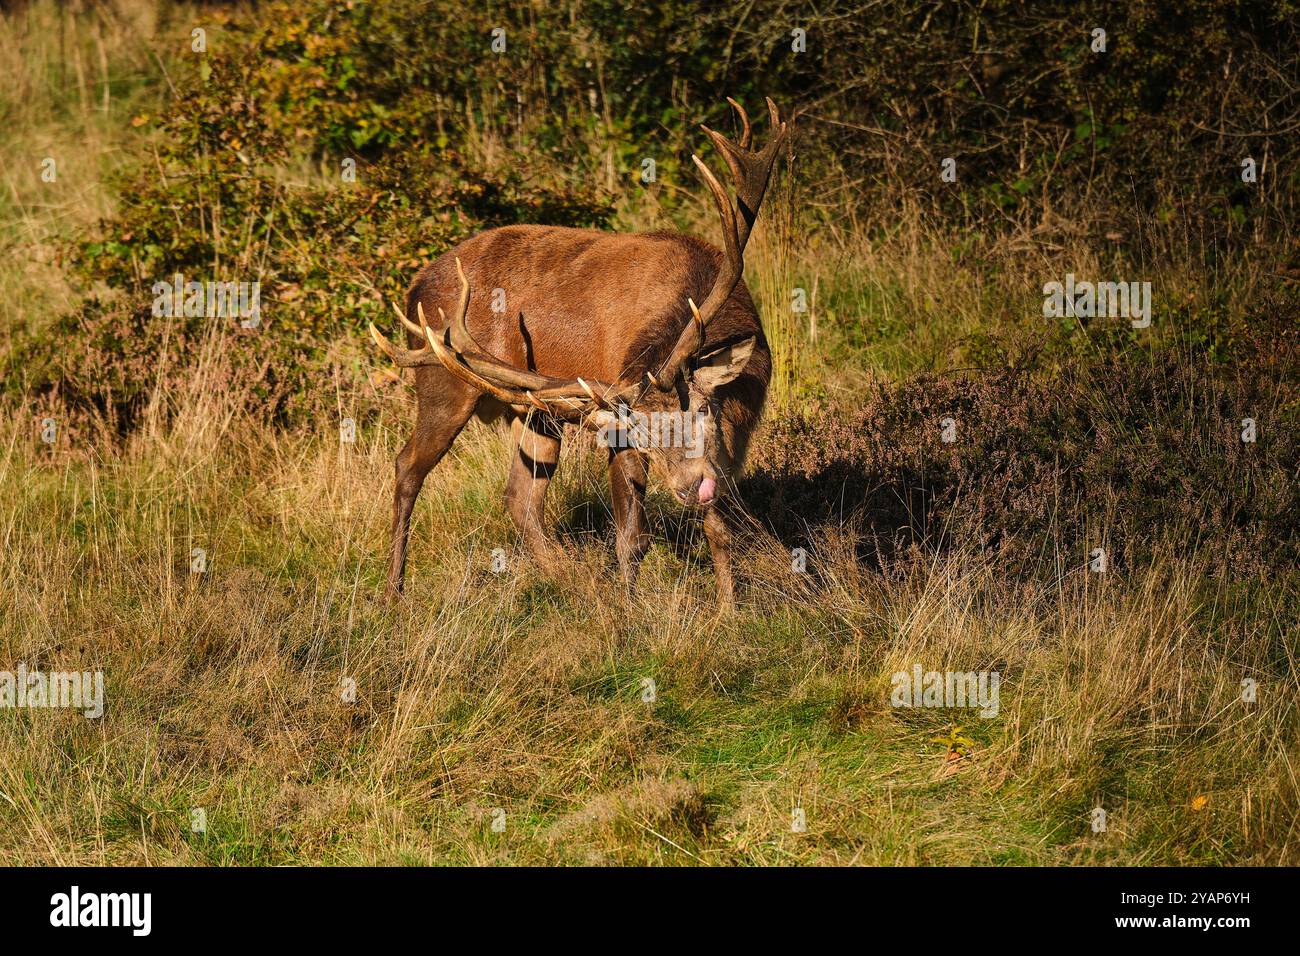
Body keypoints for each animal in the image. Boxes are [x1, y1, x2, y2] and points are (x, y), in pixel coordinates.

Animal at [369, 97, 790, 606]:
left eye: (701, 411)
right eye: (644, 434)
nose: (691, 488)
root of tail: (413, 285)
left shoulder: (732, 443)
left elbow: (720, 530)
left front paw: (728, 608)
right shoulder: (619, 427)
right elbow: (633, 536)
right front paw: (628, 607)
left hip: (533, 412)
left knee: (520, 495)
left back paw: (567, 575)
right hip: (441, 383)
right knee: (408, 466)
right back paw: (393, 591)